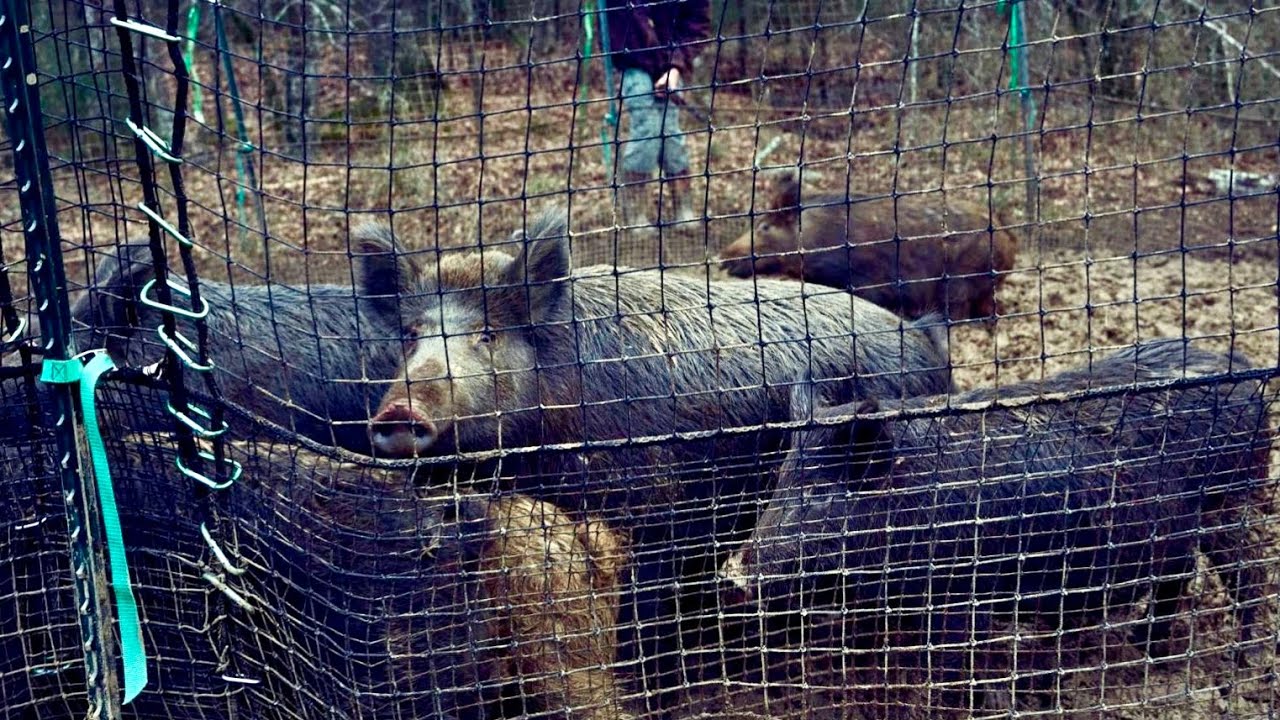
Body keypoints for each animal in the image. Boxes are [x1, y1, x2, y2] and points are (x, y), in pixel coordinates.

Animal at [723, 339, 1273, 712]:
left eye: (818, 495)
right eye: (779, 483)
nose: (733, 574)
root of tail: (1244, 371)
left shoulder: (960, 601)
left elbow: (958, 667)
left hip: (1230, 505)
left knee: (1250, 573)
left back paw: (1242, 663)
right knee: (1179, 573)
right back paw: (1146, 647)